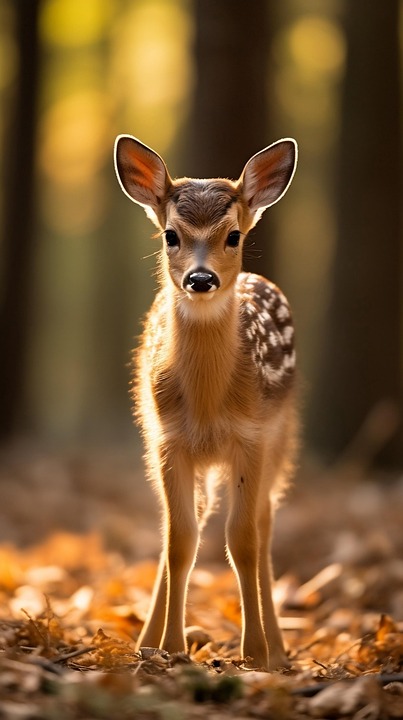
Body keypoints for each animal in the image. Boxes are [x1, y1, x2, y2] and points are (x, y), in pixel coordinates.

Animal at [114, 134, 298, 671]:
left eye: (233, 235)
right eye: (170, 235)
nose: (200, 279)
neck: (207, 404)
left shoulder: (251, 437)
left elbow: (243, 540)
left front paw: (255, 653)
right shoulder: (170, 441)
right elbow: (181, 540)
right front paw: (171, 648)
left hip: (284, 436)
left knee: (264, 521)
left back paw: (279, 650)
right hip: (159, 440)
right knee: (182, 524)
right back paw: (145, 640)